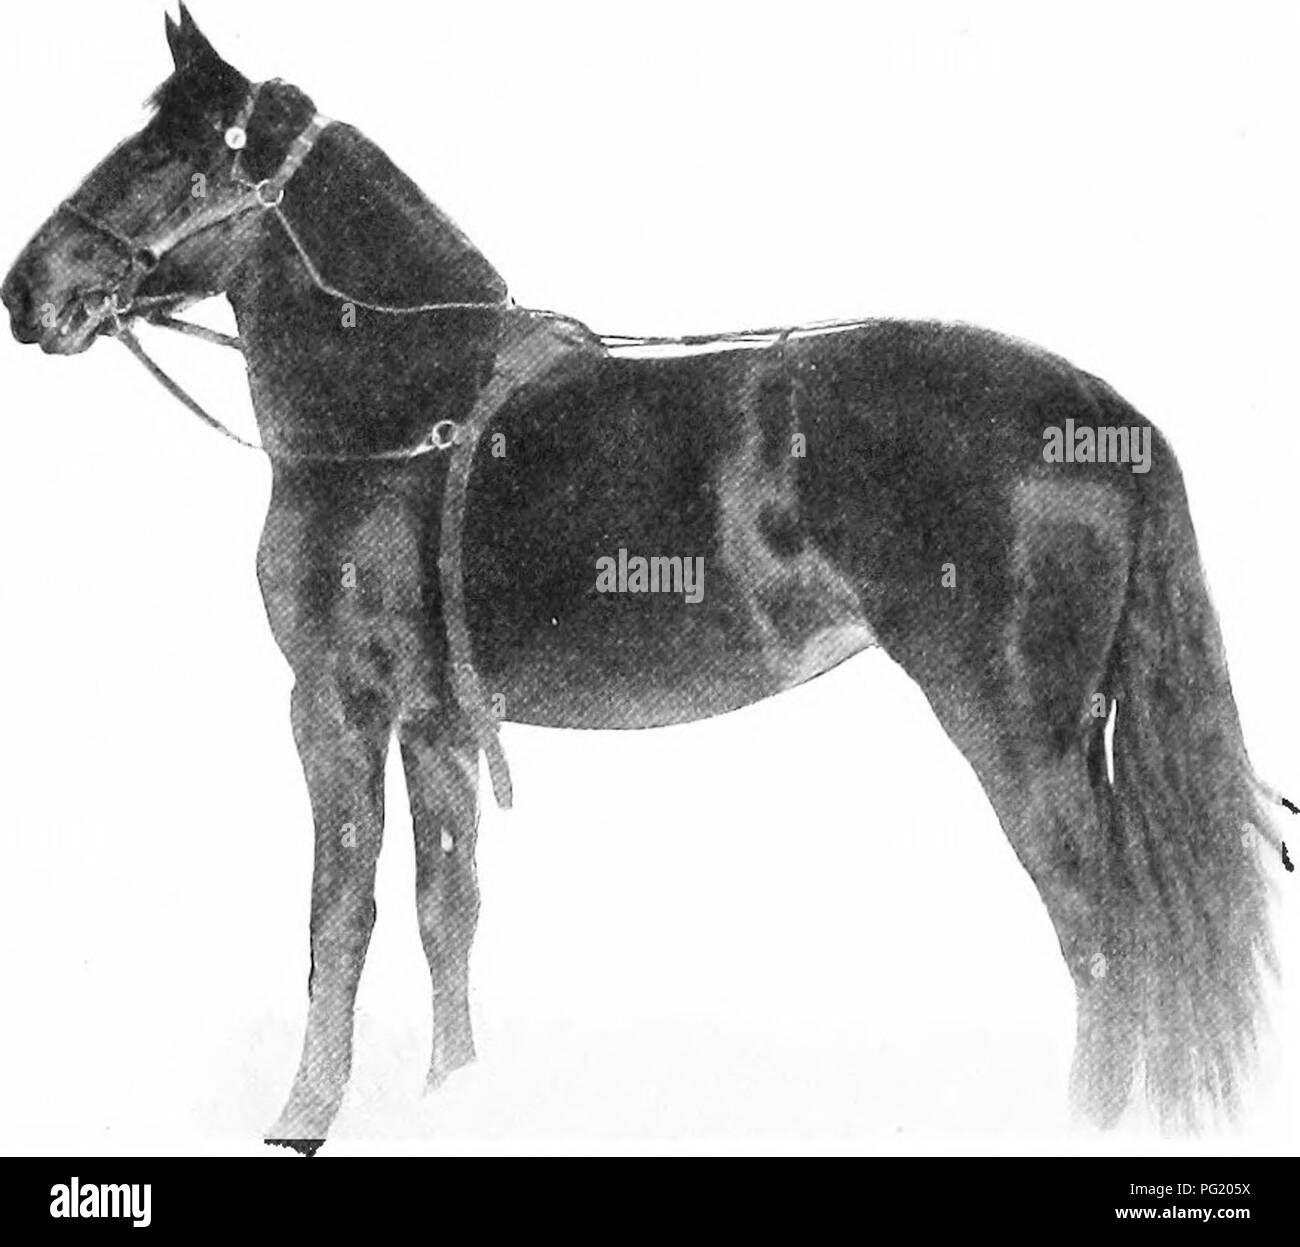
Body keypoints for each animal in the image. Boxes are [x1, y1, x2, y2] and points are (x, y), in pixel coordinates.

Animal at [3, 6, 1293, 1152]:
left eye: (168, 156)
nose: (28, 292)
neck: (402, 410)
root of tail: (1102, 413)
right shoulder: (434, 721)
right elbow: (444, 908)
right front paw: (454, 1096)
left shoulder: (333, 705)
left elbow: (340, 916)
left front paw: (304, 1114)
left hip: (1017, 733)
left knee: (1102, 938)